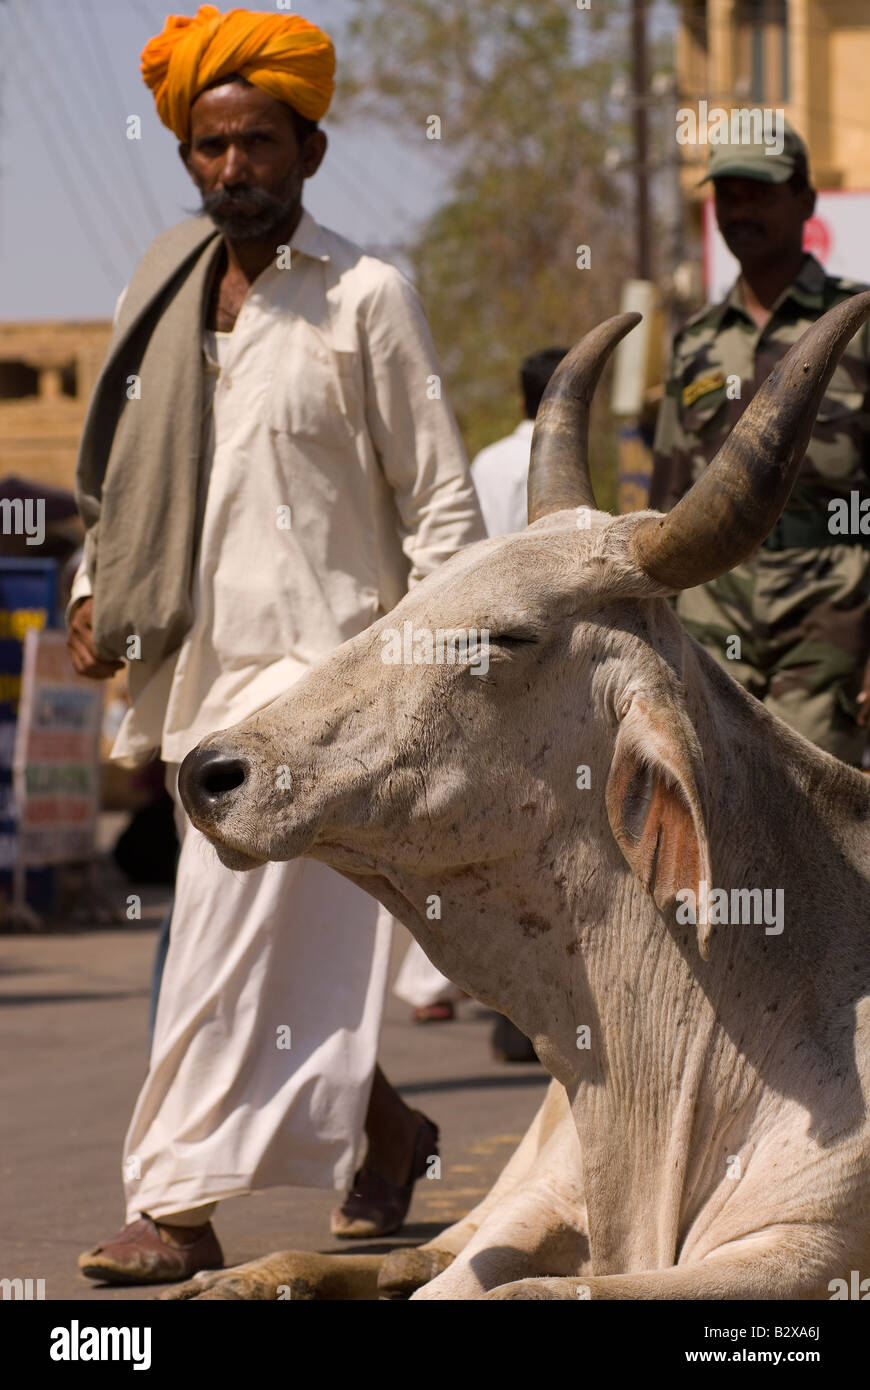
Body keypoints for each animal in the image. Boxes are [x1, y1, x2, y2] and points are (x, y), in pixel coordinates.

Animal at [171, 294, 870, 1300]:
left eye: (503, 638)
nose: (210, 773)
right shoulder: (547, 1203)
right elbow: (463, 1281)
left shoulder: (809, 1252)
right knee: (422, 1254)